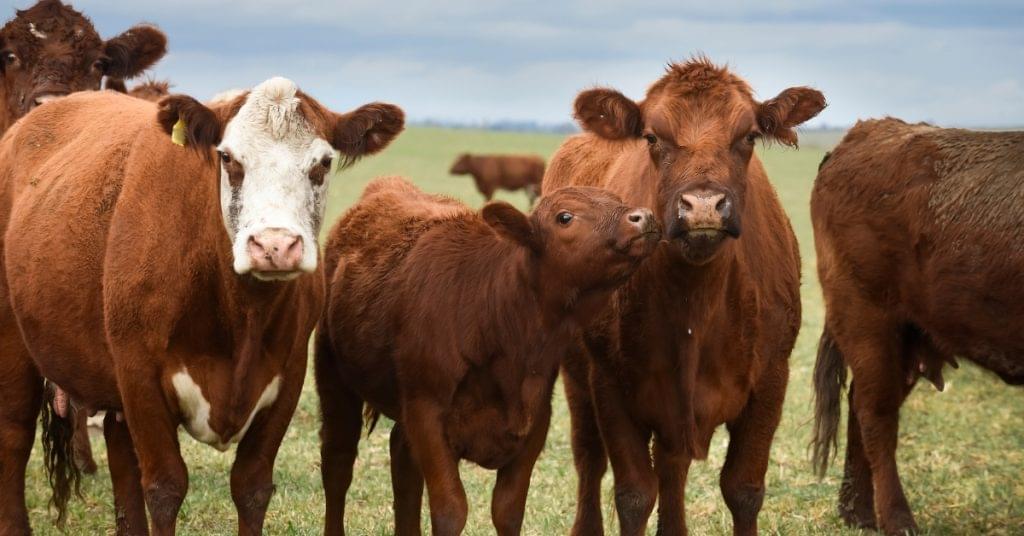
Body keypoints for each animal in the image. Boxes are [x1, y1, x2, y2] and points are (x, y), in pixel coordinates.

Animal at [0, 78, 403, 534]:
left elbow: (251, 487)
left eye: (322, 162)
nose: (274, 246)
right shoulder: (139, 377)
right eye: (228, 158)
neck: (240, 314)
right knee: (14, 434)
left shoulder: (287, 378)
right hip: (14, 342)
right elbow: (165, 487)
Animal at [315, 177, 660, 535]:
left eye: (617, 199)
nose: (643, 217)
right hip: (332, 375)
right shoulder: (427, 412)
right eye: (565, 217)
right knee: (337, 462)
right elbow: (451, 509)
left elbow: (507, 510)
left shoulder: (535, 419)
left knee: (401, 461)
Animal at [543, 56, 825, 535]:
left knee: (671, 468)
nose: (704, 206)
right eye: (652, 137)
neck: (697, 303)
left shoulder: (771, 380)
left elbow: (743, 488)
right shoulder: (611, 386)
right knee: (589, 458)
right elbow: (634, 493)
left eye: (748, 136)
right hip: (577, 377)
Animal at [810, 118, 1024, 535]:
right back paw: (897, 520)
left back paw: (858, 513)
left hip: (908, 341)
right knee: (876, 417)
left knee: (863, 409)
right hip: (868, 324)